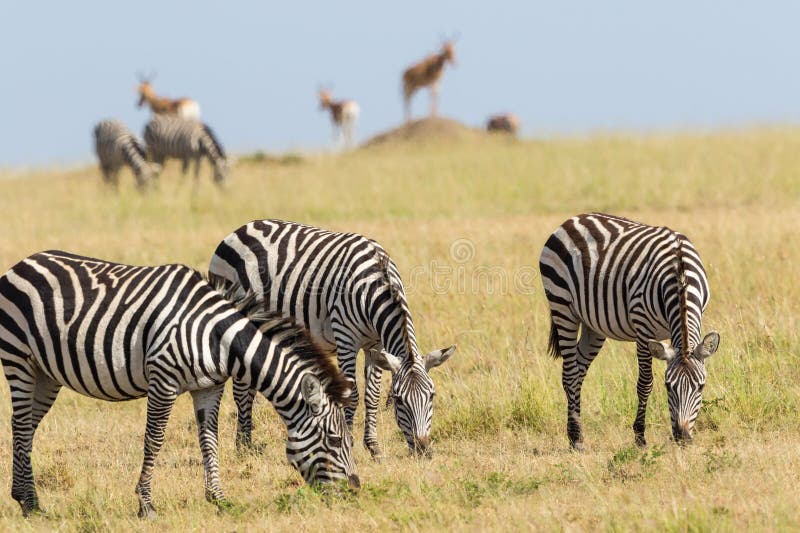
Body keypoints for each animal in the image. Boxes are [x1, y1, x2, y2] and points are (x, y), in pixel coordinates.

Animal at [0, 250, 358, 518]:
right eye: (335, 439)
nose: (354, 491)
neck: (218, 338)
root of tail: (23, 263)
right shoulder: (163, 379)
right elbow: (154, 440)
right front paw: (146, 504)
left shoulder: (209, 387)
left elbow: (209, 440)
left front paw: (219, 499)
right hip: (19, 360)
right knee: (21, 425)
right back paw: (30, 504)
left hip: (47, 374)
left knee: (26, 427)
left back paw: (27, 500)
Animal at [209, 219, 457, 459]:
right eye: (398, 400)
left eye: (432, 396)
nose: (423, 450)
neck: (376, 281)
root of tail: (241, 228)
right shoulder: (346, 339)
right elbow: (352, 395)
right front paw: (350, 443)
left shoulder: (376, 344)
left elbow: (372, 395)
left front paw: (374, 448)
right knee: (241, 390)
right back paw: (244, 447)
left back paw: (246, 444)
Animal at [538, 213, 721, 449]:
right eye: (668, 386)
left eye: (701, 387)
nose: (683, 439)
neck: (679, 272)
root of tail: (573, 219)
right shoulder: (643, 328)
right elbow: (645, 383)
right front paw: (640, 437)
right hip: (562, 307)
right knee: (570, 372)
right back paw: (576, 438)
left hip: (593, 325)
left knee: (577, 370)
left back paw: (575, 432)